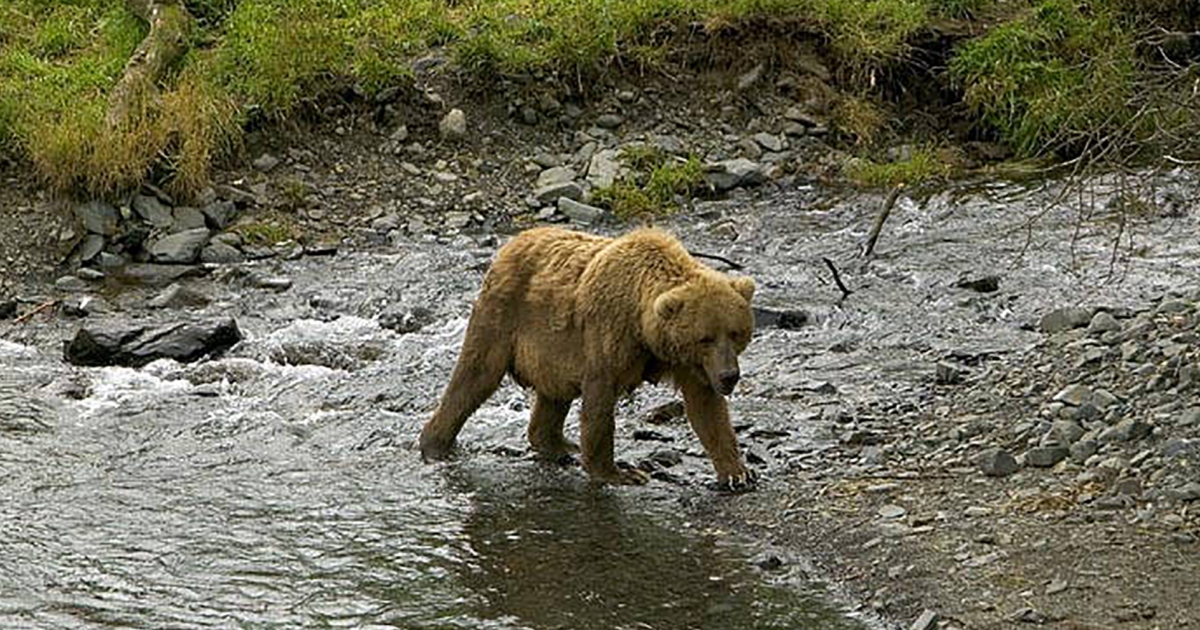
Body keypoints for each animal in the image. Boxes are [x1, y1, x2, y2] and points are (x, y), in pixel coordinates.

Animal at [418, 226, 758, 490]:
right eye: (705, 337)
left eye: (735, 333)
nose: (729, 376)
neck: (646, 330)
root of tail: (510, 245)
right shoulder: (609, 335)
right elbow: (599, 403)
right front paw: (619, 473)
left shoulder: (689, 363)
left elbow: (707, 409)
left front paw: (737, 474)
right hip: (504, 315)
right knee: (475, 377)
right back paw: (435, 444)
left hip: (551, 351)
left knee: (553, 395)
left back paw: (558, 443)